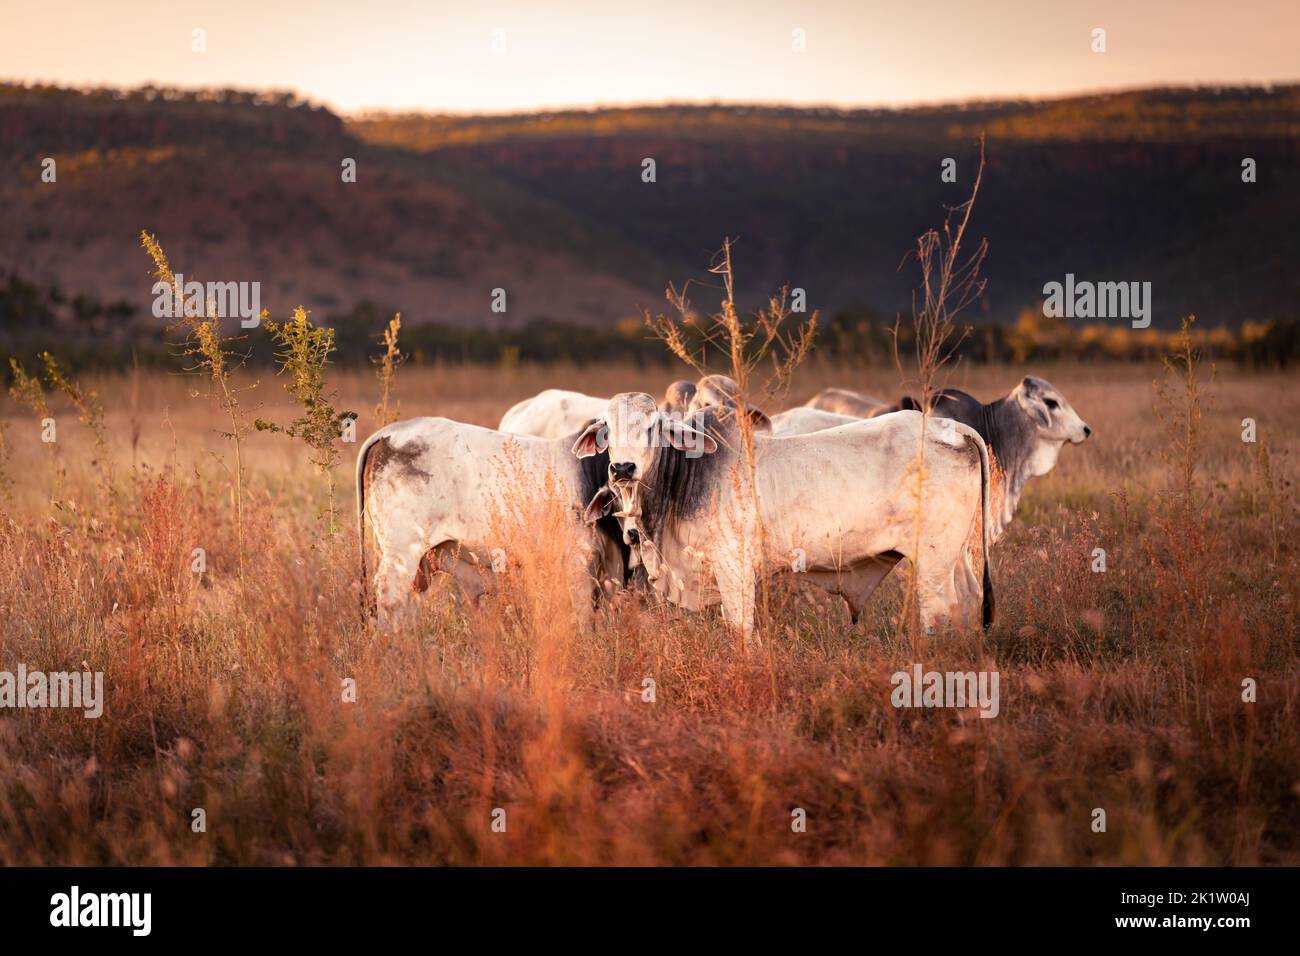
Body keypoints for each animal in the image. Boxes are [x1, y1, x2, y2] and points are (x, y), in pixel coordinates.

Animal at [575, 394, 994, 645]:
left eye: (652, 427)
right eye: (607, 428)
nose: (622, 468)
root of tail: (951, 428)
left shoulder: (734, 567)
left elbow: (740, 628)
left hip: (933, 560)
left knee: (938, 611)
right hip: (955, 555)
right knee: (969, 601)